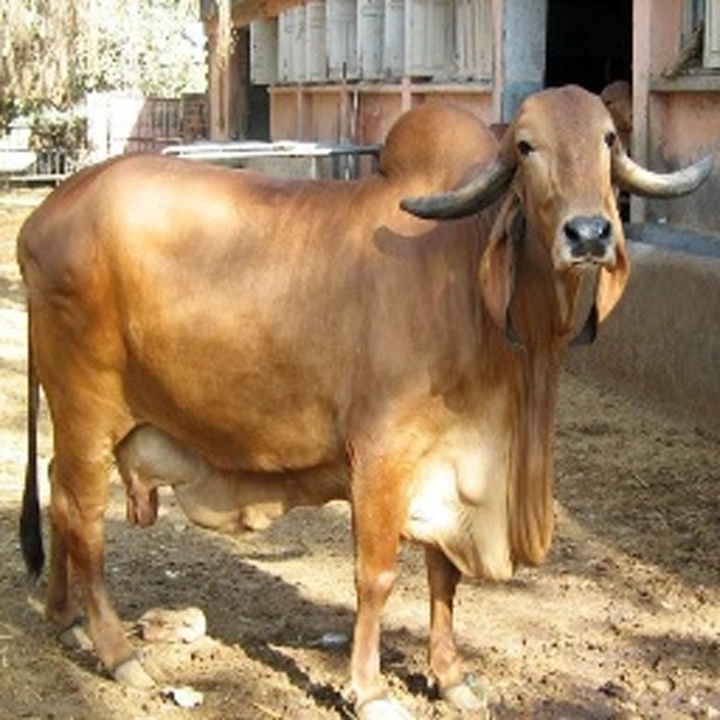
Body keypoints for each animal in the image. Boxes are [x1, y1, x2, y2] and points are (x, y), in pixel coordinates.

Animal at [17, 86, 711, 719]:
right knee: (82, 518)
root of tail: (42, 217)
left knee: (56, 493)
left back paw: (63, 617)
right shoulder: (382, 454)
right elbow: (375, 576)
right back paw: (117, 652)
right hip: (87, 411)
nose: (589, 232)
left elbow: (443, 574)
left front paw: (451, 678)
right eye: (525, 146)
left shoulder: (449, 463)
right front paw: (370, 689)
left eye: (608, 139)